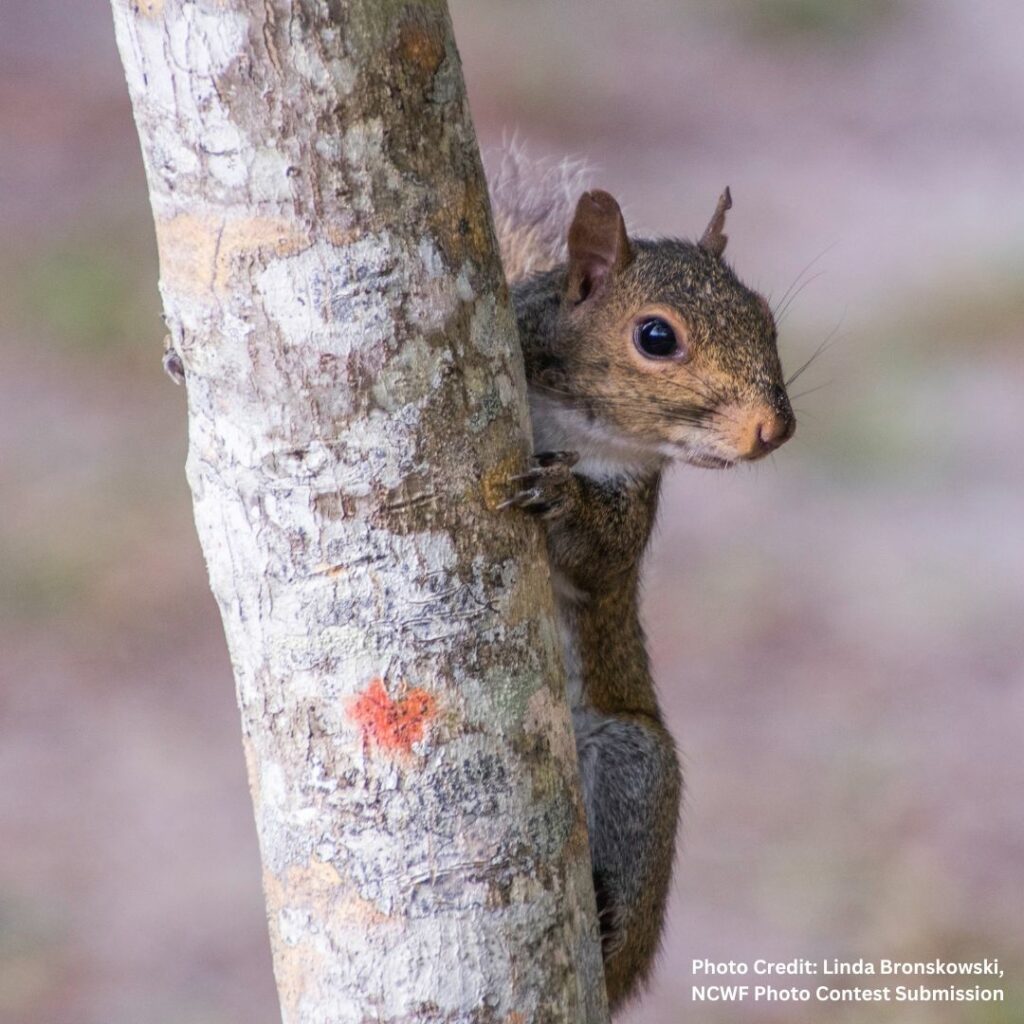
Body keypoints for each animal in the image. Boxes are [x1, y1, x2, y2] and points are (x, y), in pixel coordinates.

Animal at [490, 147, 795, 1014]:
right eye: (656, 336)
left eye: (765, 317)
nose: (775, 429)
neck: (567, 414)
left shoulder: (633, 503)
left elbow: (601, 555)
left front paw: (559, 494)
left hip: (634, 762)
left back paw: (603, 924)